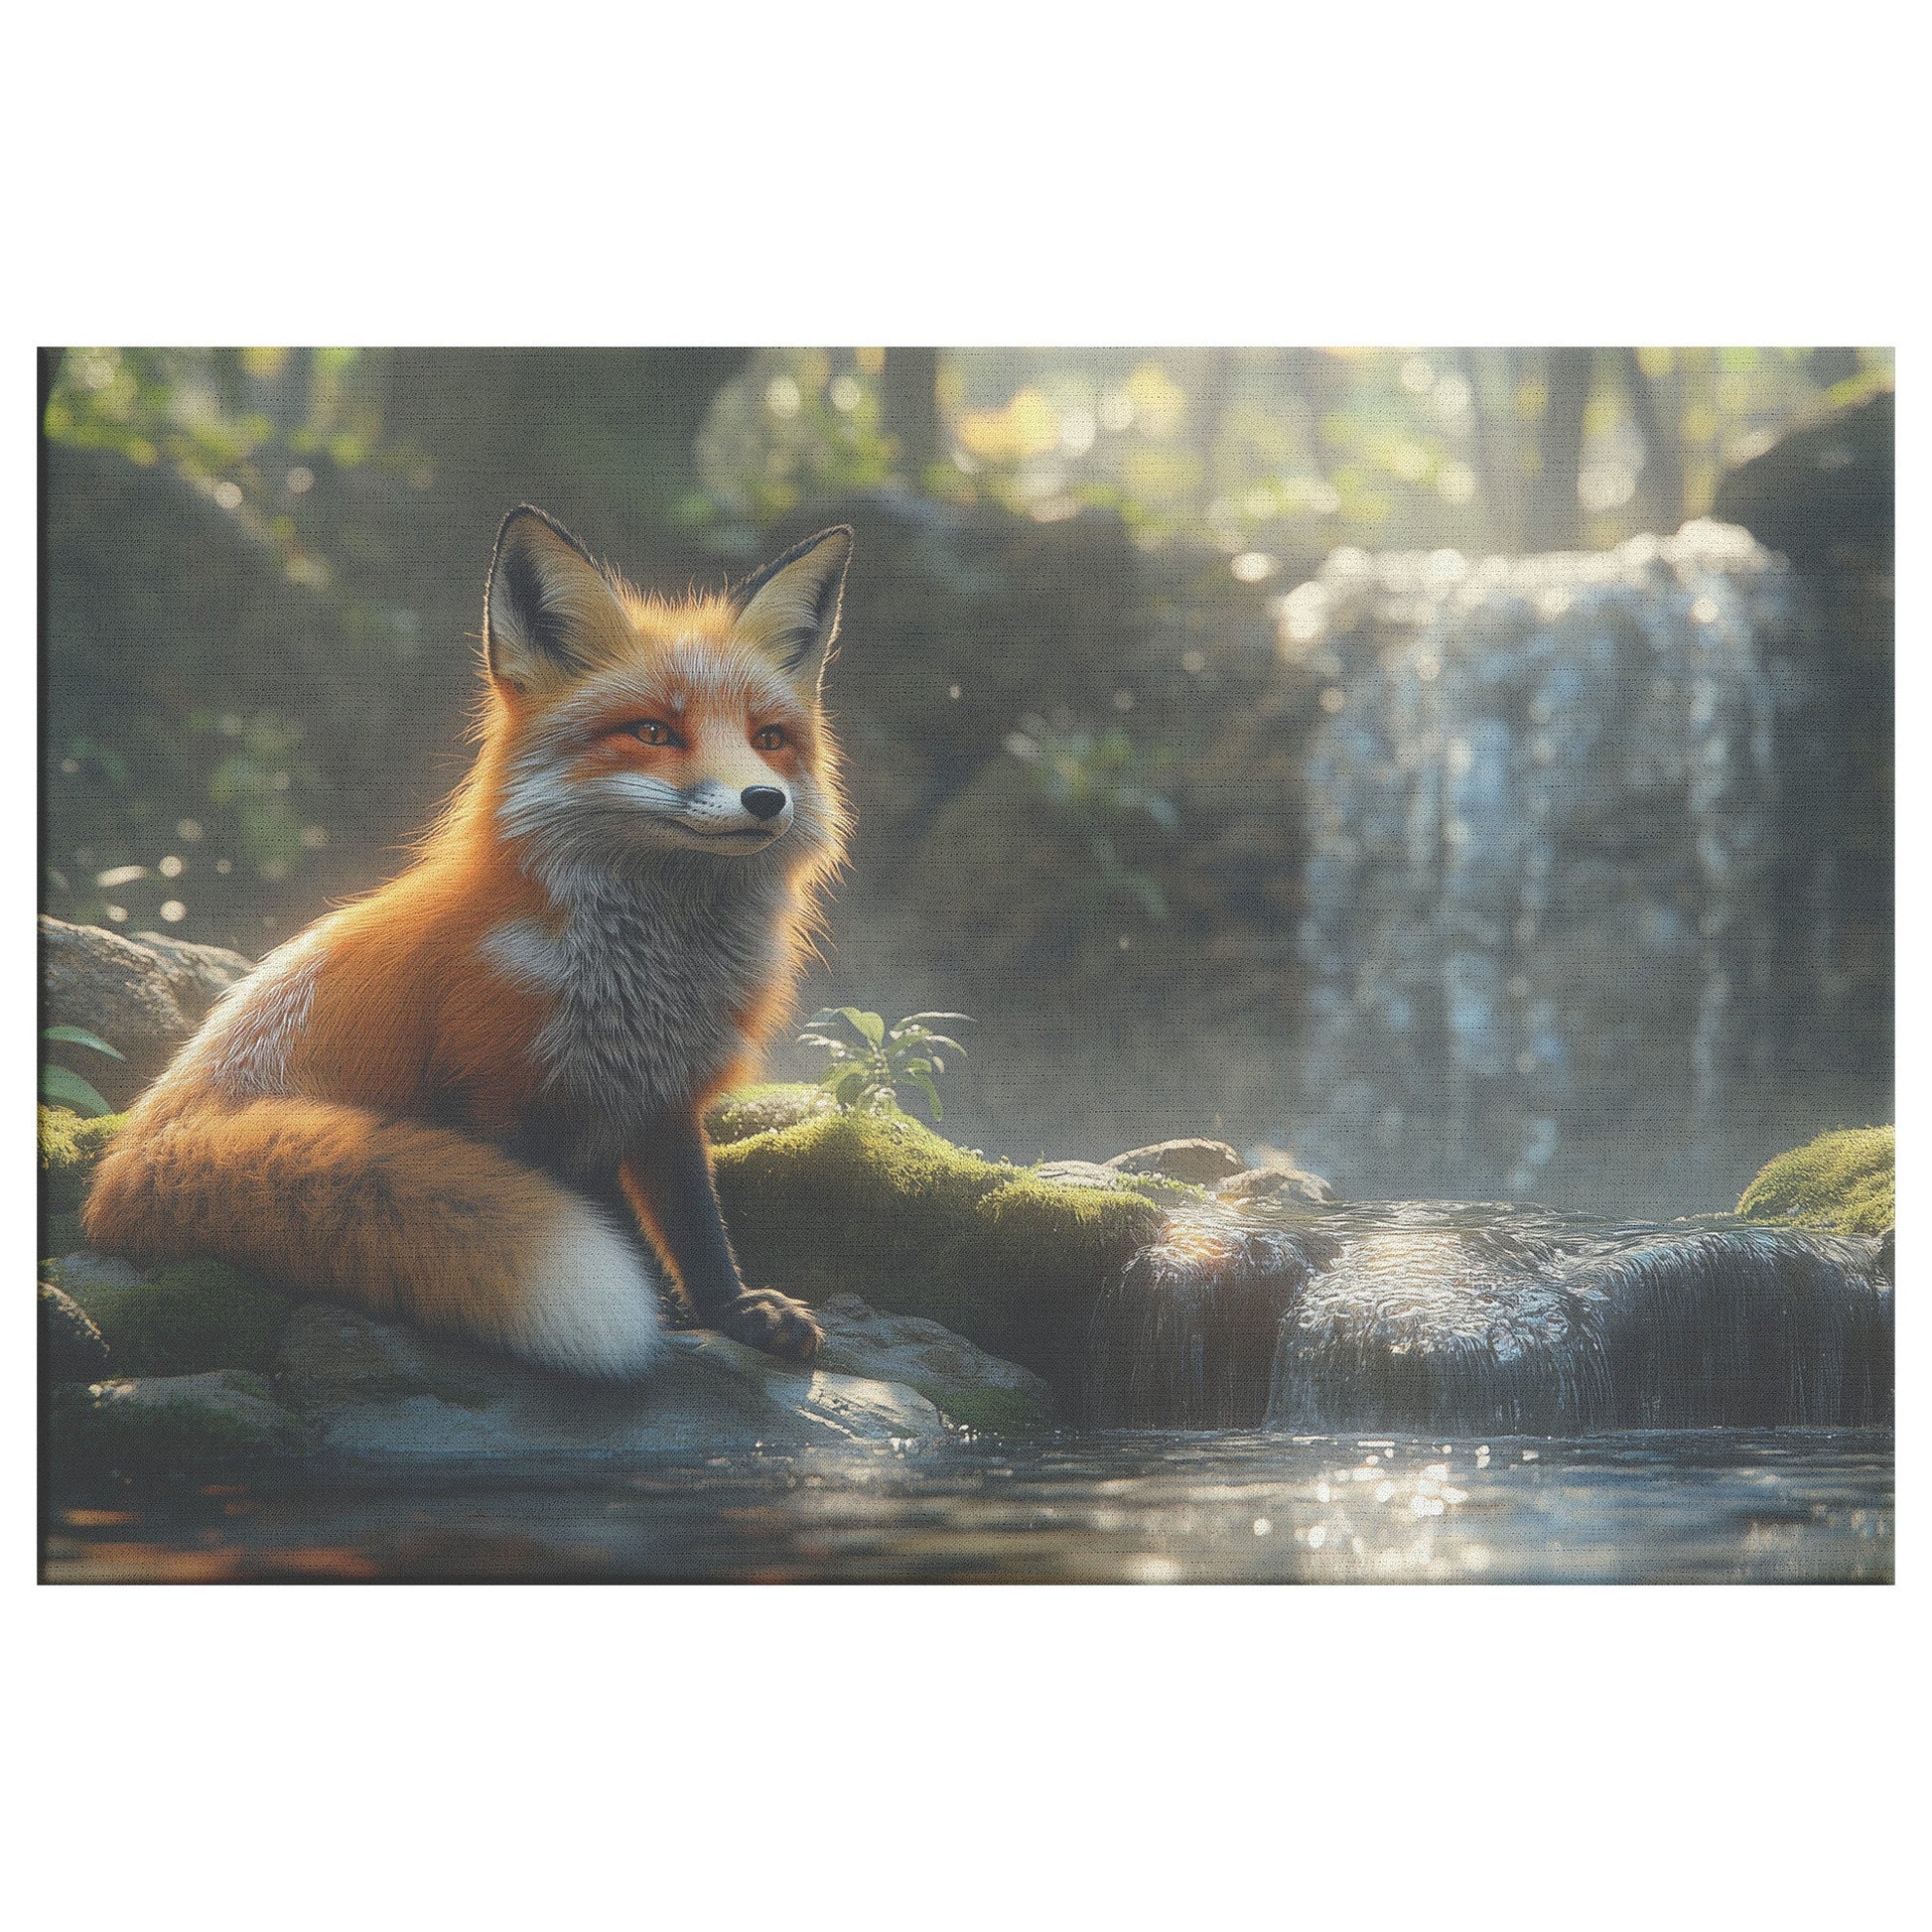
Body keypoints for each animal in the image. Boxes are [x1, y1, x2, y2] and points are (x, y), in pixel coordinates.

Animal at [83, 506, 855, 1375]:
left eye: (770, 738)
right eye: (654, 731)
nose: (765, 800)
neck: (638, 974)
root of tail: (128, 1159)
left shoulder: (662, 1095)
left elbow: (697, 1225)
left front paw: (734, 1311)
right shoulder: (496, 1096)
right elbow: (585, 1210)